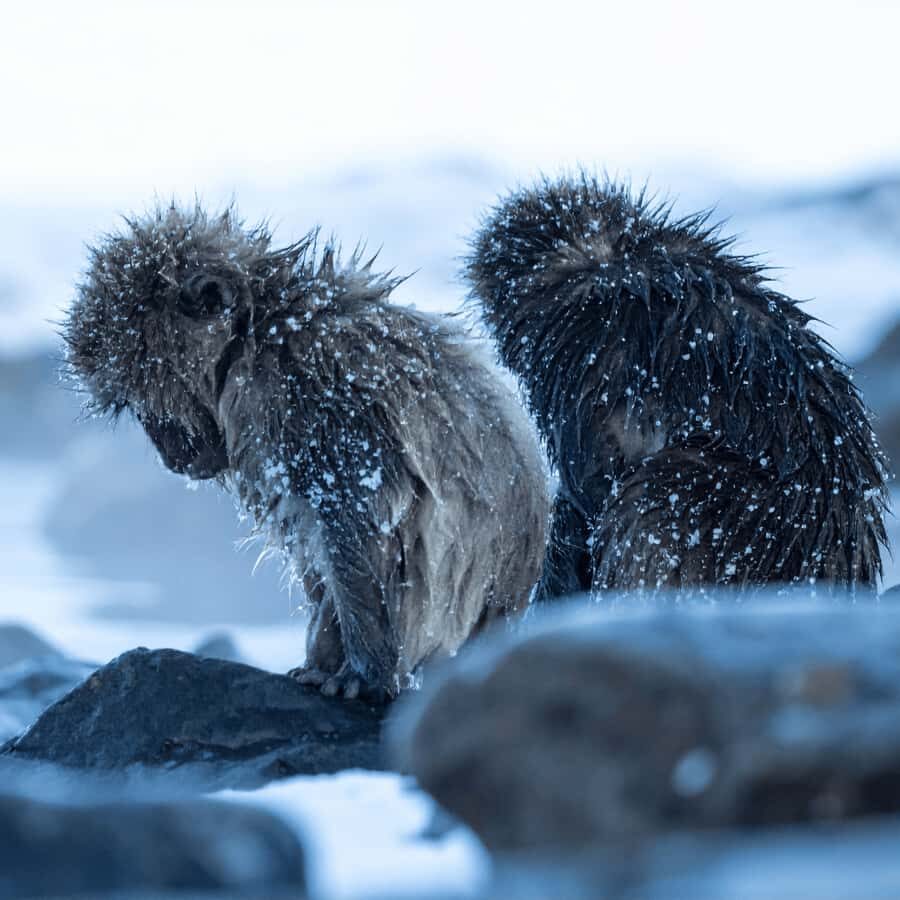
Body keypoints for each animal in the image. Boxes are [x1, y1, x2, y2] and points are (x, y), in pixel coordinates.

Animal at [63, 203, 550, 700]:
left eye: (151, 396)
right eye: (136, 407)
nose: (169, 454)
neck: (258, 336)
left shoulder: (317, 403)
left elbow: (354, 524)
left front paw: (365, 674)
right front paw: (322, 658)